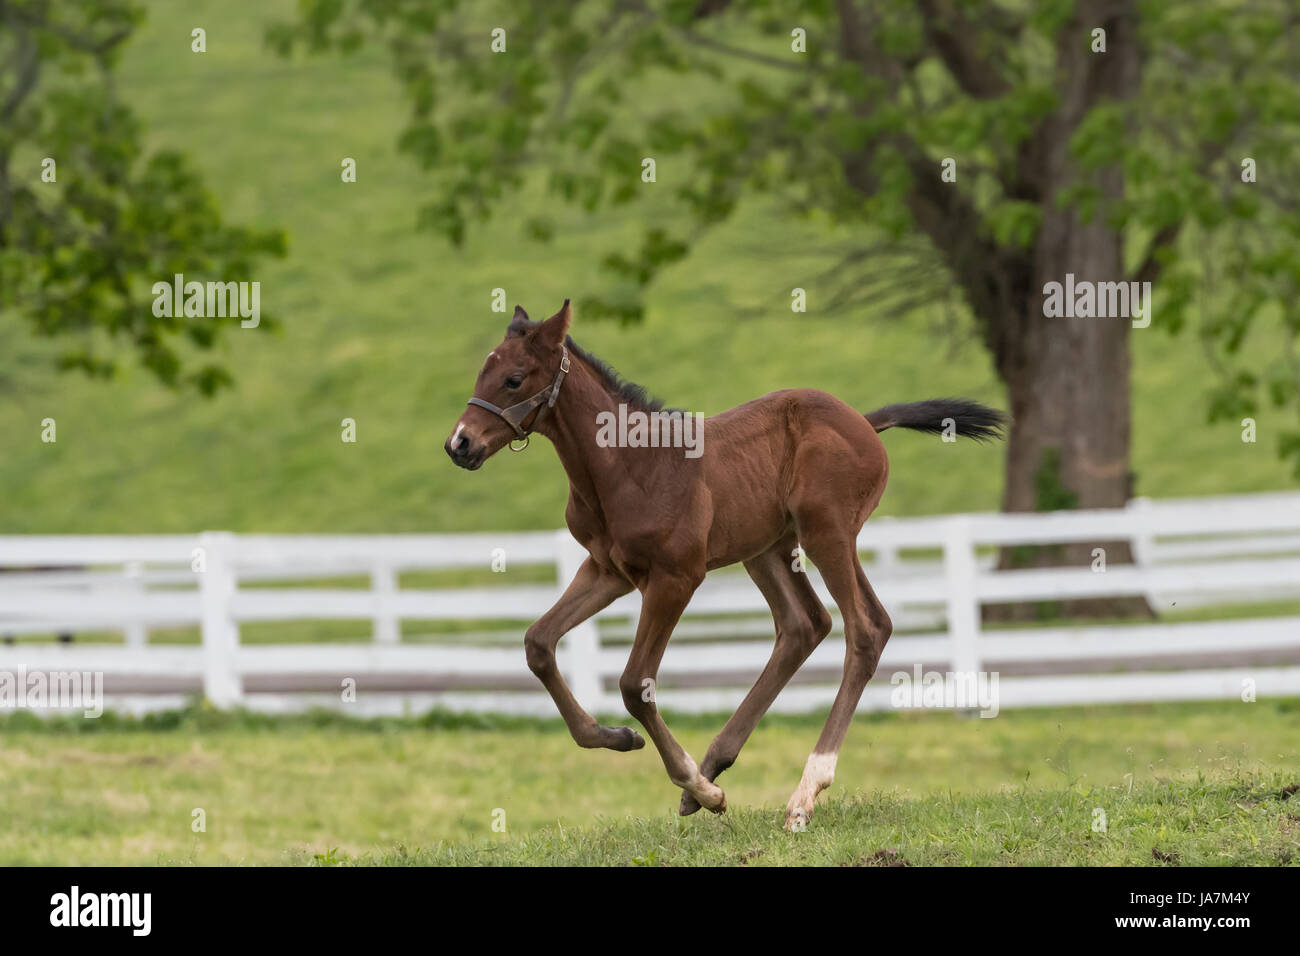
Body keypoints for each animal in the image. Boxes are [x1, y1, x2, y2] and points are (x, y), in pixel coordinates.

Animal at [446, 300, 1005, 829]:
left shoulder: (676, 577)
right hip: (768, 549)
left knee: (866, 628)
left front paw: (701, 787)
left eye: (514, 378)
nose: (459, 444)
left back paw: (799, 795)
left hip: (827, 532)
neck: (627, 466)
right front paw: (619, 739)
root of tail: (864, 423)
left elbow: (633, 683)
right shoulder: (607, 570)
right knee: (804, 625)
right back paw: (716, 766)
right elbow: (538, 643)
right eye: (481, 372)